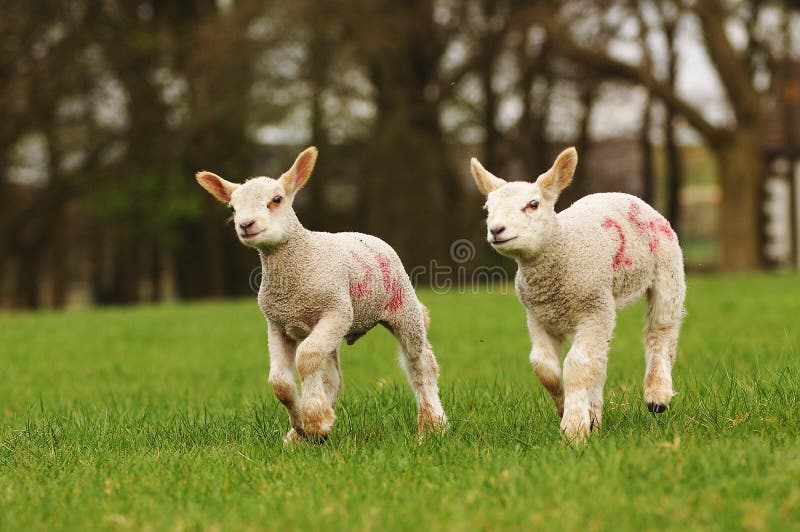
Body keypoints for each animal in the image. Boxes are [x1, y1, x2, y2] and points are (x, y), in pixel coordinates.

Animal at [196, 147, 447, 444]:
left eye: (277, 199)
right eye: (233, 208)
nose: (246, 224)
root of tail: (366, 235)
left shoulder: (337, 311)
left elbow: (305, 359)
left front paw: (313, 420)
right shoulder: (277, 324)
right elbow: (279, 381)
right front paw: (304, 427)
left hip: (402, 306)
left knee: (420, 361)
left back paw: (433, 424)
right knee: (332, 375)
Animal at [470, 147, 685, 441]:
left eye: (533, 204)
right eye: (487, 209)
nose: (496, 230)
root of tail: (625, 195)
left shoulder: (592, 310)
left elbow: (577, 365)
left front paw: (573, 428)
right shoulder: (538, 316)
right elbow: (545, 367)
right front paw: (567, 408)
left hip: (667, 271)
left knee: (661, 330)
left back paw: (657, 395)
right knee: (601, 360)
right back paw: (594, 413)